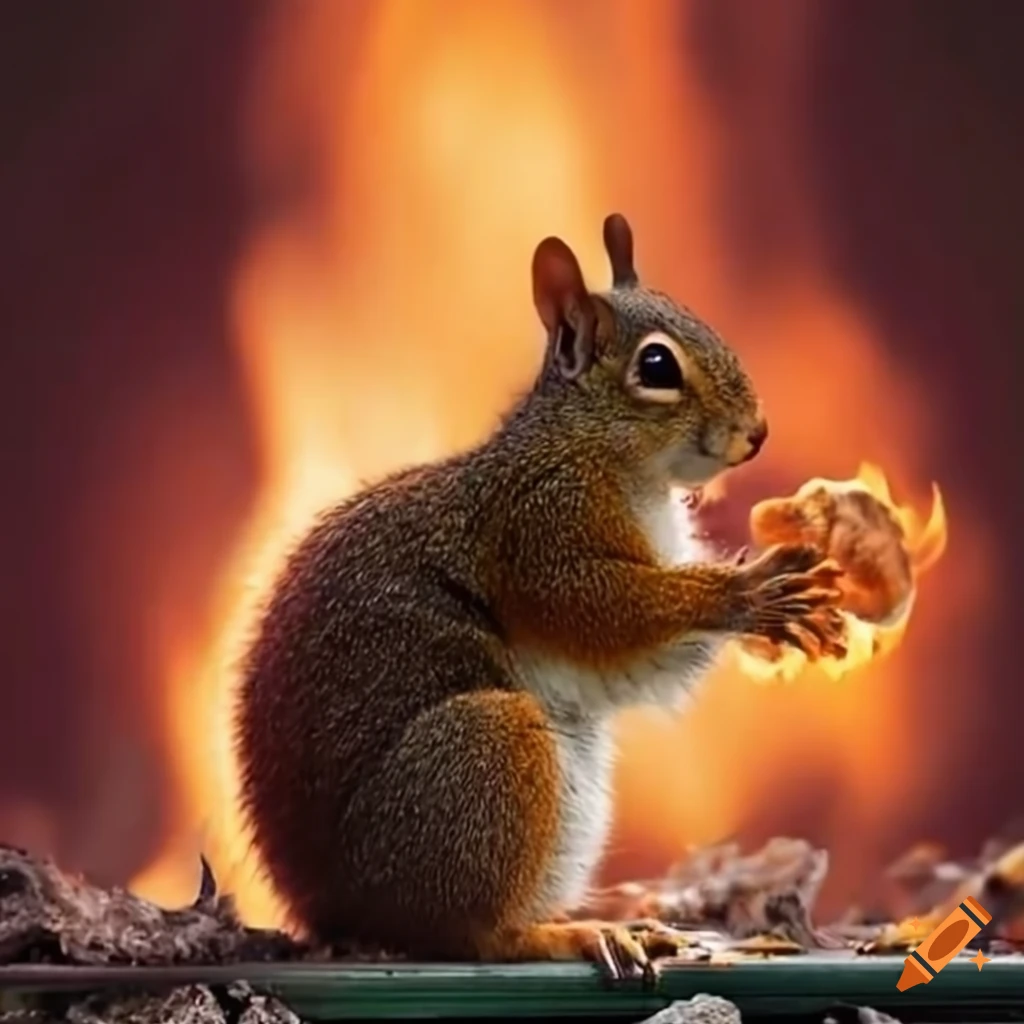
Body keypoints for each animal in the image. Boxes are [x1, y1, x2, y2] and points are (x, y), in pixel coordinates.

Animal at [235, 214, 847, 982]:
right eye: (657, 367)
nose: (757, 434)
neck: (597, 448)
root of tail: (338, 917)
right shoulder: (540, 533)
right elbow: (603, 610)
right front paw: (745, 590)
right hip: (481, 756)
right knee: (469, 936)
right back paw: (572, 935)